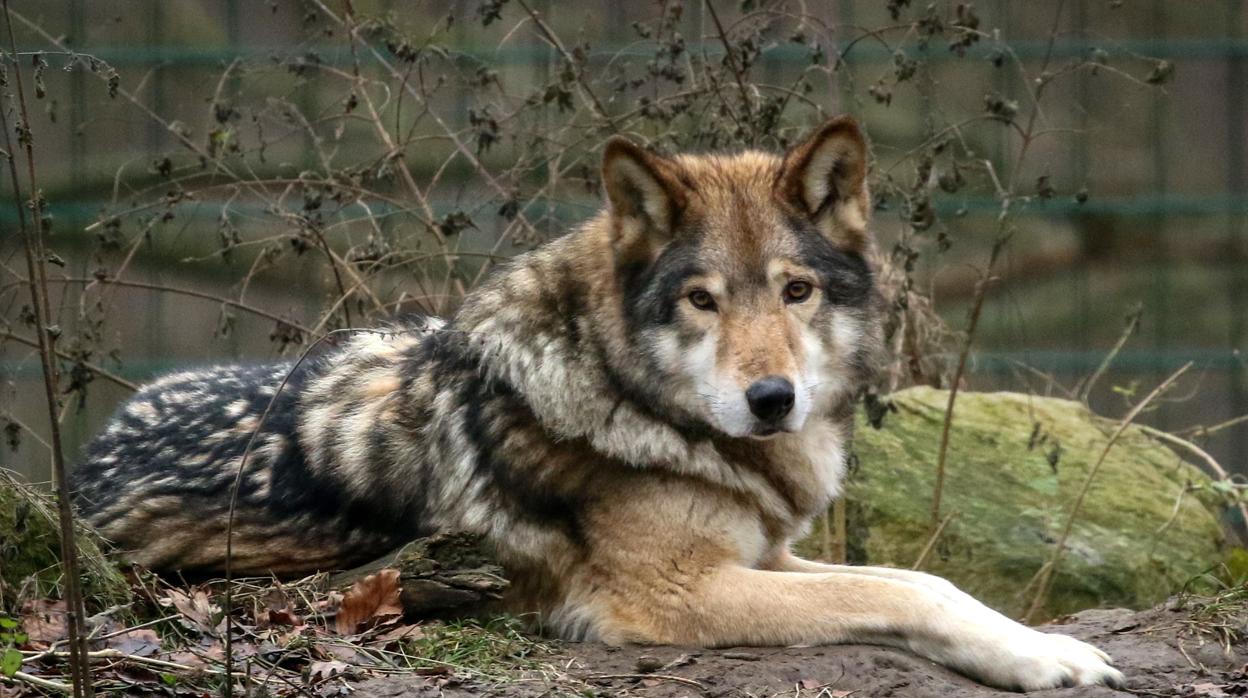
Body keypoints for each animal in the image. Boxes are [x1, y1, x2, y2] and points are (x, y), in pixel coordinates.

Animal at [73, 116, 1123, 690]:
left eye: (795, 291)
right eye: (702, 299)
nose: (772, 399)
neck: (638, 402)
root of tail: (89, 456)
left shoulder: (766, 554)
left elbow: (919, 578)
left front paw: (1043, 645)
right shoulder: (676, 592)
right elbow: (894, 589)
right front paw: (1047, 660)